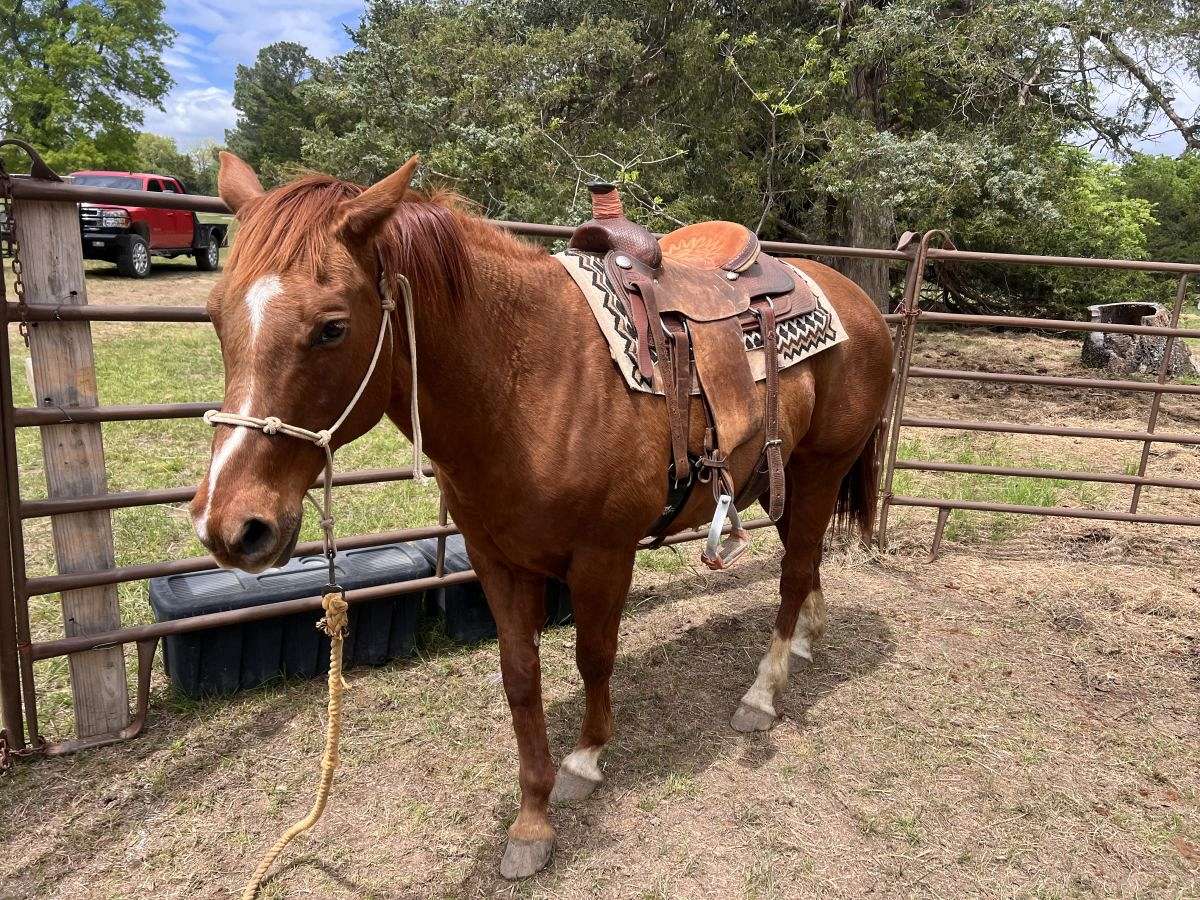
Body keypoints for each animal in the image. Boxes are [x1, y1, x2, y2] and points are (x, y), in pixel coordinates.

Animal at [191, 152, 894, 879]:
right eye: (215, 317)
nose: (232, 526)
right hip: (791, 481)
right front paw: (532, 819)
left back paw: (763, 690)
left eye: (331, 327)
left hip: (820, 471)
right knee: (805, 562)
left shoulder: (602, 557)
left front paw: (584, 759)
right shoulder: (495, 559)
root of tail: (856, 297)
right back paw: (807, 638)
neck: (530, 380)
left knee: (793, 573)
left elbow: (593, 656)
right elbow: (520, 677)